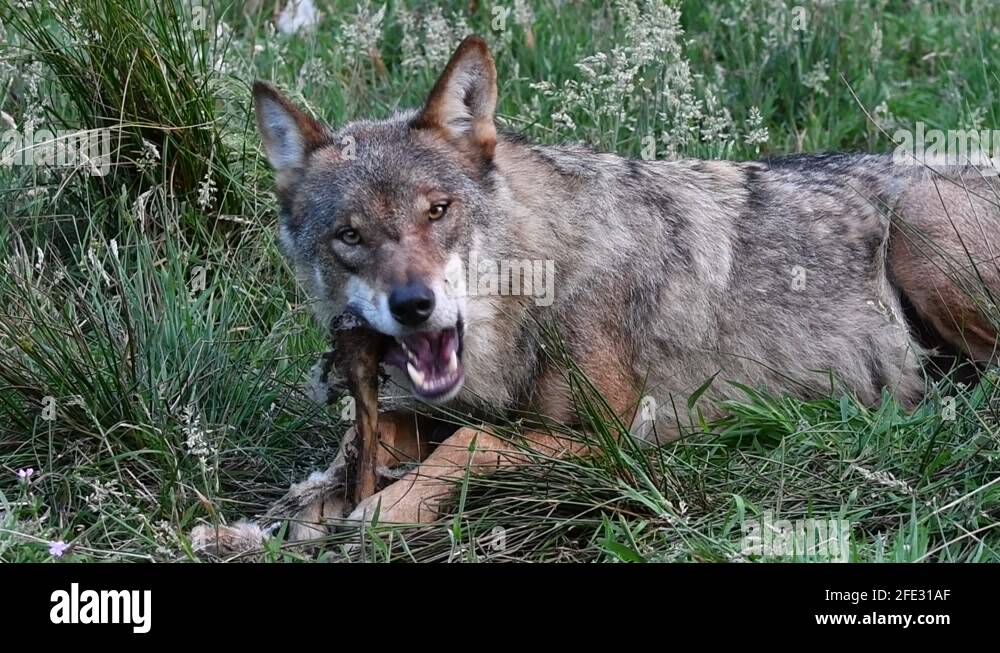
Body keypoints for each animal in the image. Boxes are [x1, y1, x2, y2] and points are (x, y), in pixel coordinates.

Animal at [194, 36, 1000, 549]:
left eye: (436, 211)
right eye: (350, 235)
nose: (413, 305)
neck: (538, 288)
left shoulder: (615, 444)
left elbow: (474, 442)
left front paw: (387, 508)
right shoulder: (448, 403)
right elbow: (377, 431)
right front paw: (285, 513)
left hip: (922, 217)